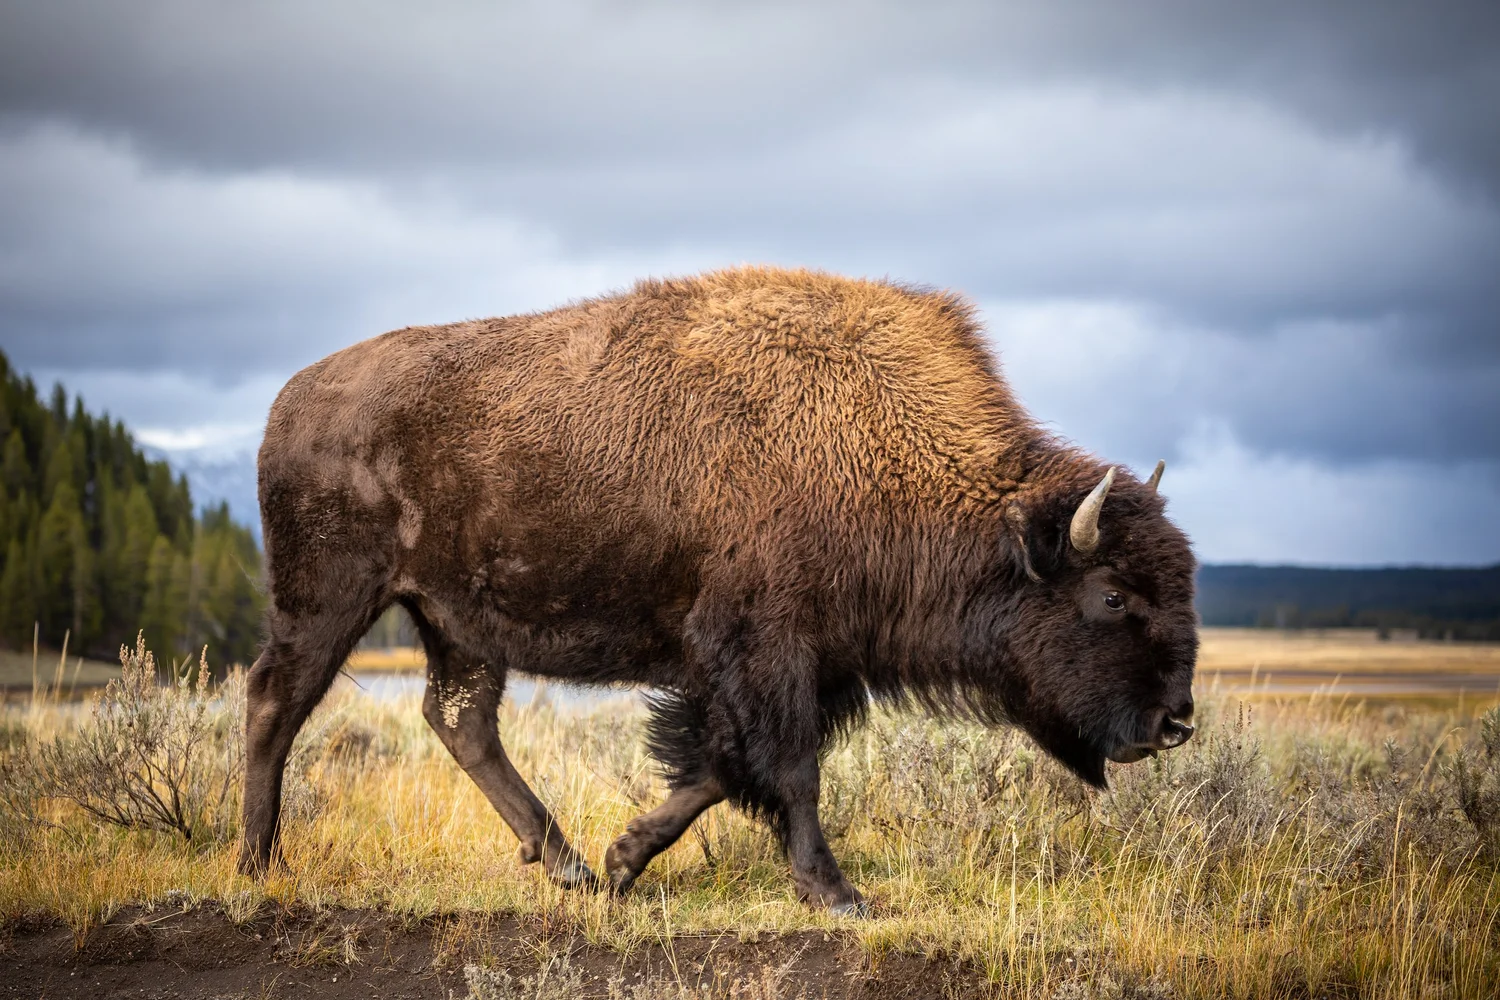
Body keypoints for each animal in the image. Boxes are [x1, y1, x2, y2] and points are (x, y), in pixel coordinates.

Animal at [239, 267, 1197, 914]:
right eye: (1113, 597)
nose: (1176, 722)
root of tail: (289, 401)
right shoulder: (767, 649)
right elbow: (788, 769)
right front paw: (836, 893)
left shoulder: (803, 664)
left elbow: (722, 766)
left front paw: (623, 861)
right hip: (328, 598)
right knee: (275, 703)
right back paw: (260, 863)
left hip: (455, 624)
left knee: (459, 720)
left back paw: (567, 866)